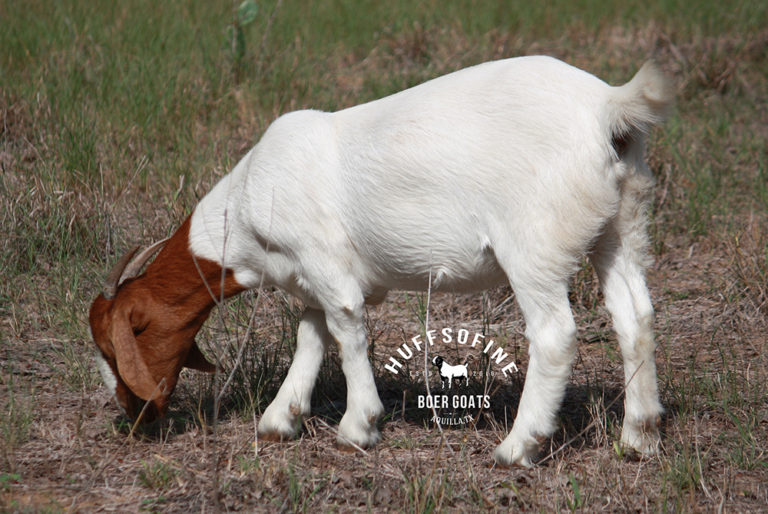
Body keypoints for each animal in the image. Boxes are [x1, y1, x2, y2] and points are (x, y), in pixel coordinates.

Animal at [89, 56, 673, 467]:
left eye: (120, 346)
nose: (135, 415)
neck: (250, 201)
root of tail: (608, 107)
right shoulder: (311, 276)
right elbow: (312, 336)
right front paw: (280, 419)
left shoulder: (325, 263)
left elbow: (346, 332)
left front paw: (357, 427)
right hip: (621, 226)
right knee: (635, 318)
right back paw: (638, 437)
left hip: (534, 245)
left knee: (555, 335)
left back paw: (518, 447)